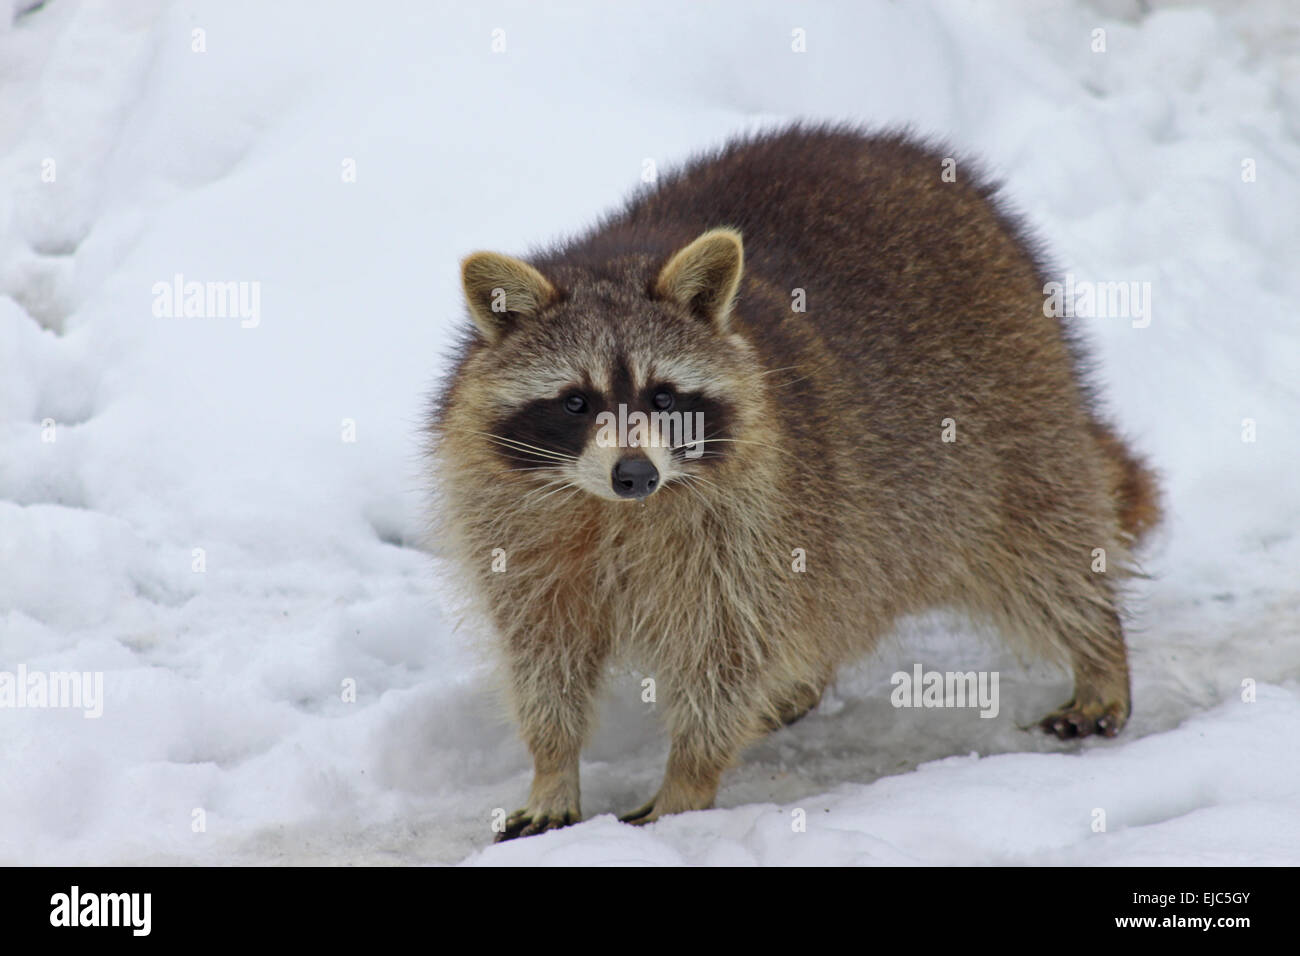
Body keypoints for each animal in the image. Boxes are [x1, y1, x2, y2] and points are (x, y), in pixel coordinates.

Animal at [429, 125, 1160, 841]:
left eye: (664, 398)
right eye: (576, 403)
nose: (635, 474)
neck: (610, 511)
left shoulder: (752, 512)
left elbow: (725, 648)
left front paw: (688, 777)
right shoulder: (512, 523)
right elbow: (542, 653)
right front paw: (553, 765)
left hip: (1011, 425)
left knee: (1044, 552)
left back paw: (1100, 648)